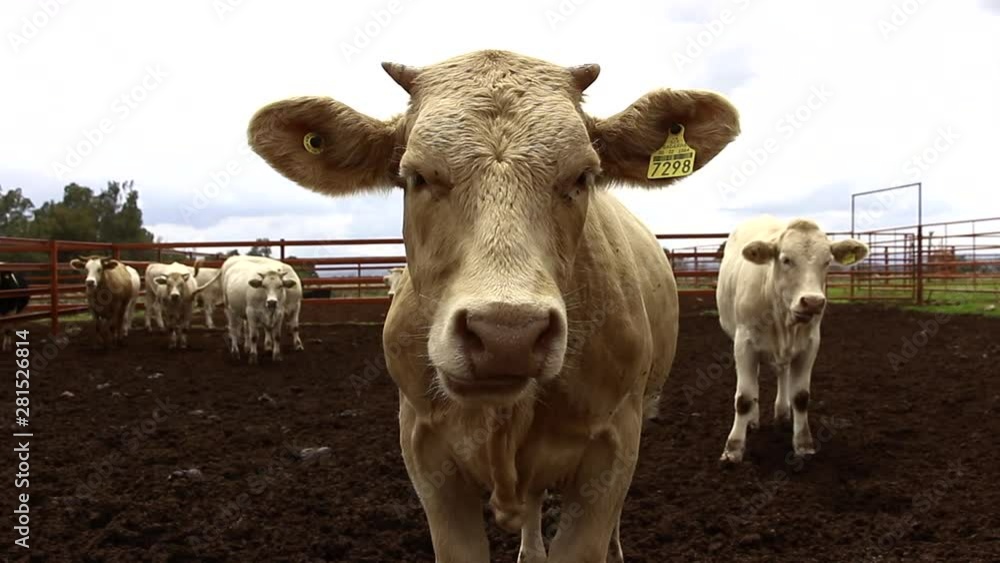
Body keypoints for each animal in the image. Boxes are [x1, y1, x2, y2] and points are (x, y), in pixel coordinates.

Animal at [715, 215, 869, 464]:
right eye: (786, 259)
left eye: (827, 261)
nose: (813, 302)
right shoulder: (743, 343)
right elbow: (744, 398)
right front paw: (733, 448)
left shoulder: (810, 345)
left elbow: (800, 397)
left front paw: (803, 443)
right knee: (754, 380)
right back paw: (753, 420)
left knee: (782, 372)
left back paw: (782, 412)